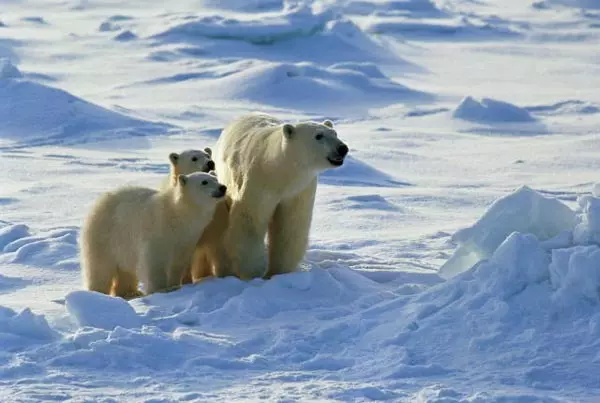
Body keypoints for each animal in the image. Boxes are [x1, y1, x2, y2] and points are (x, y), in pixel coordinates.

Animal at [79, 172, 227, 298]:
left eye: (216, 179)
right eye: (204, 182)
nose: (223, 187)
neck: (177, 215)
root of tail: (96, 205)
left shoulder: (186, 238)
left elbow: (178, 262)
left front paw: (175, 285)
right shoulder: (157, 230)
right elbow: (154, 261)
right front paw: (160, 289)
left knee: (126, 272)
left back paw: (130, 293)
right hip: (104, 236)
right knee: (100, 269)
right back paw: (98, 294)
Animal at [195, 112, 350, 280]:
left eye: (335, 133)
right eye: (318, 136)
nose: (342, 148)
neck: (278, 170)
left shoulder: (299, 190)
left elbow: (291, 226)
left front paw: (280, 271)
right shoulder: (259, 180)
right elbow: (249, 221)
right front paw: (254, 270)